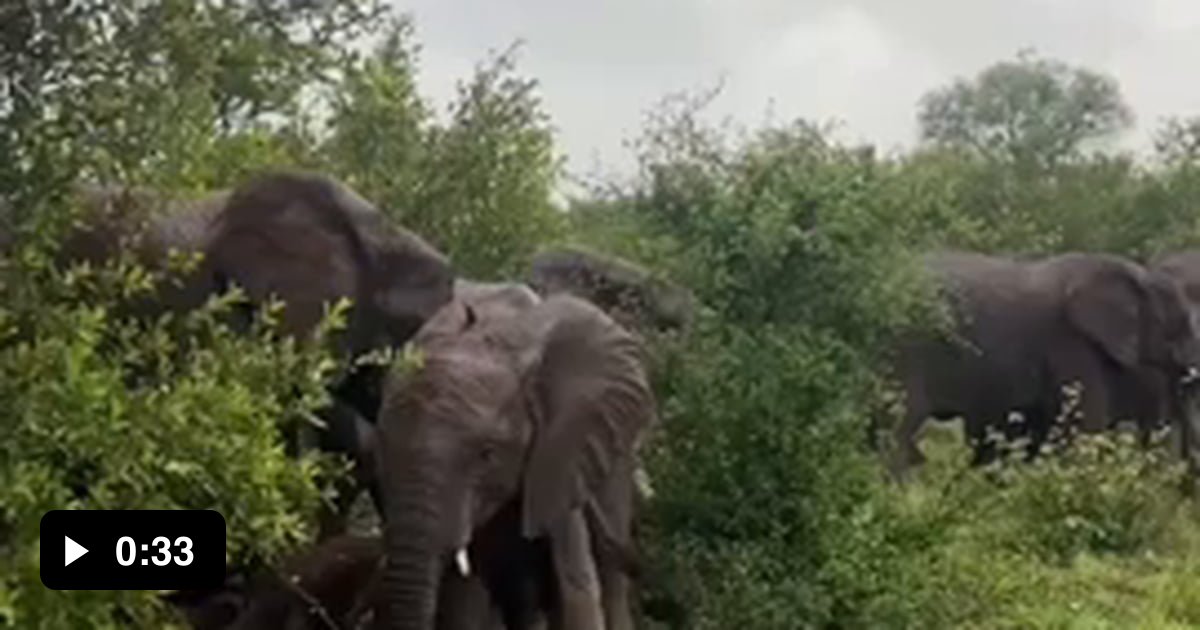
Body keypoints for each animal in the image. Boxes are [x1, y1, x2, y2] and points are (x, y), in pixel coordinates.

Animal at [889, 250, 1200, 473]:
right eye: (1179, 326)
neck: (1138, 273)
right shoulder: (1070, 344)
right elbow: (1082, 428)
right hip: (908, 349)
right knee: (899, 424)